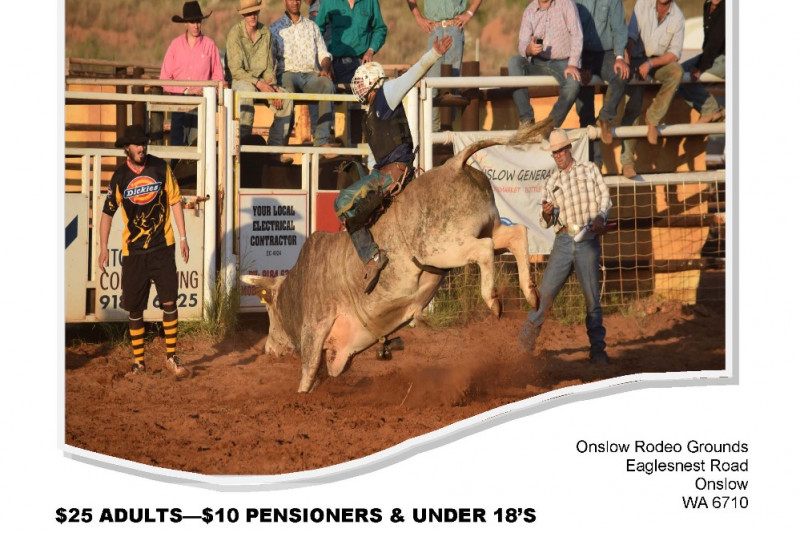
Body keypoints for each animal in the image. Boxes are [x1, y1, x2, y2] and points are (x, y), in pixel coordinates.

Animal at [242, 120, 549, 392]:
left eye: (270, 311)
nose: (267, 349)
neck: (299, 285)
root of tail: (455, 164)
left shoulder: (316, 325)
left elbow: (307, 372)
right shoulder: (341, 349)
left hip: (444, 248)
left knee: (484, 249)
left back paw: (494, 300)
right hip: (489, 226)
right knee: (517, 235)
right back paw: (532, 294)